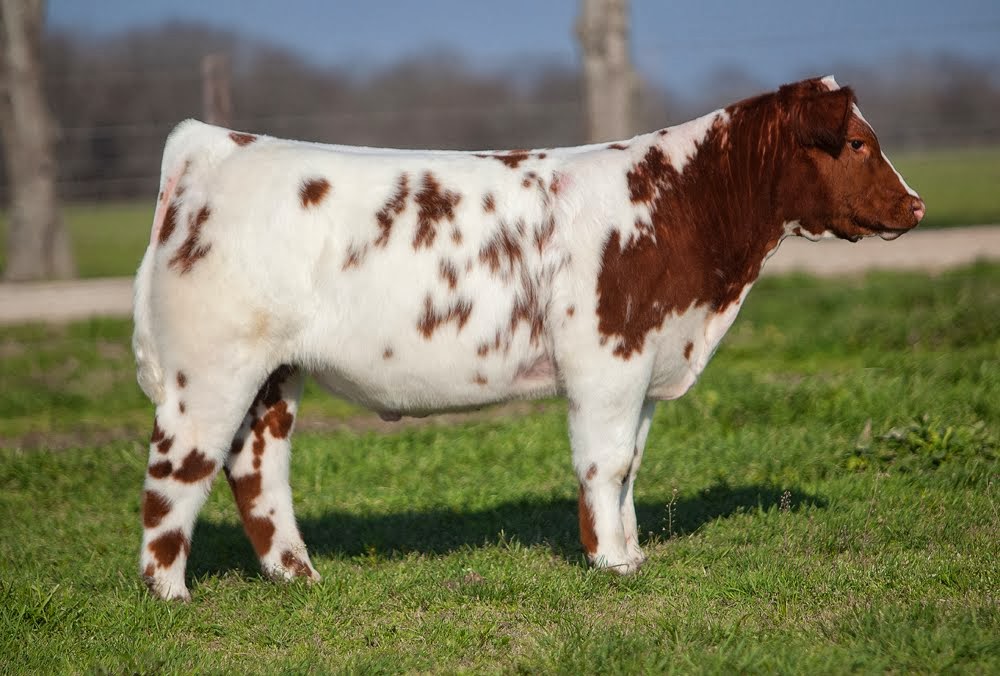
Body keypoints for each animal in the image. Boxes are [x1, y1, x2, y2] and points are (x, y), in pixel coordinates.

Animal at [133, 76, 924, 600]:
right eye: (858, 142)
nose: (915, 205)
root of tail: (218, 145)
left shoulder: (644, 366)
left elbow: (631, 465)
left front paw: (632, 555)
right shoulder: (608, 359)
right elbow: (605, 464)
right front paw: (609, 564)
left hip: (274, 372)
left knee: (256, 466)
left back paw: (298, 576)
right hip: (210, 368)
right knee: (178, 469)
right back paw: (170, 594)